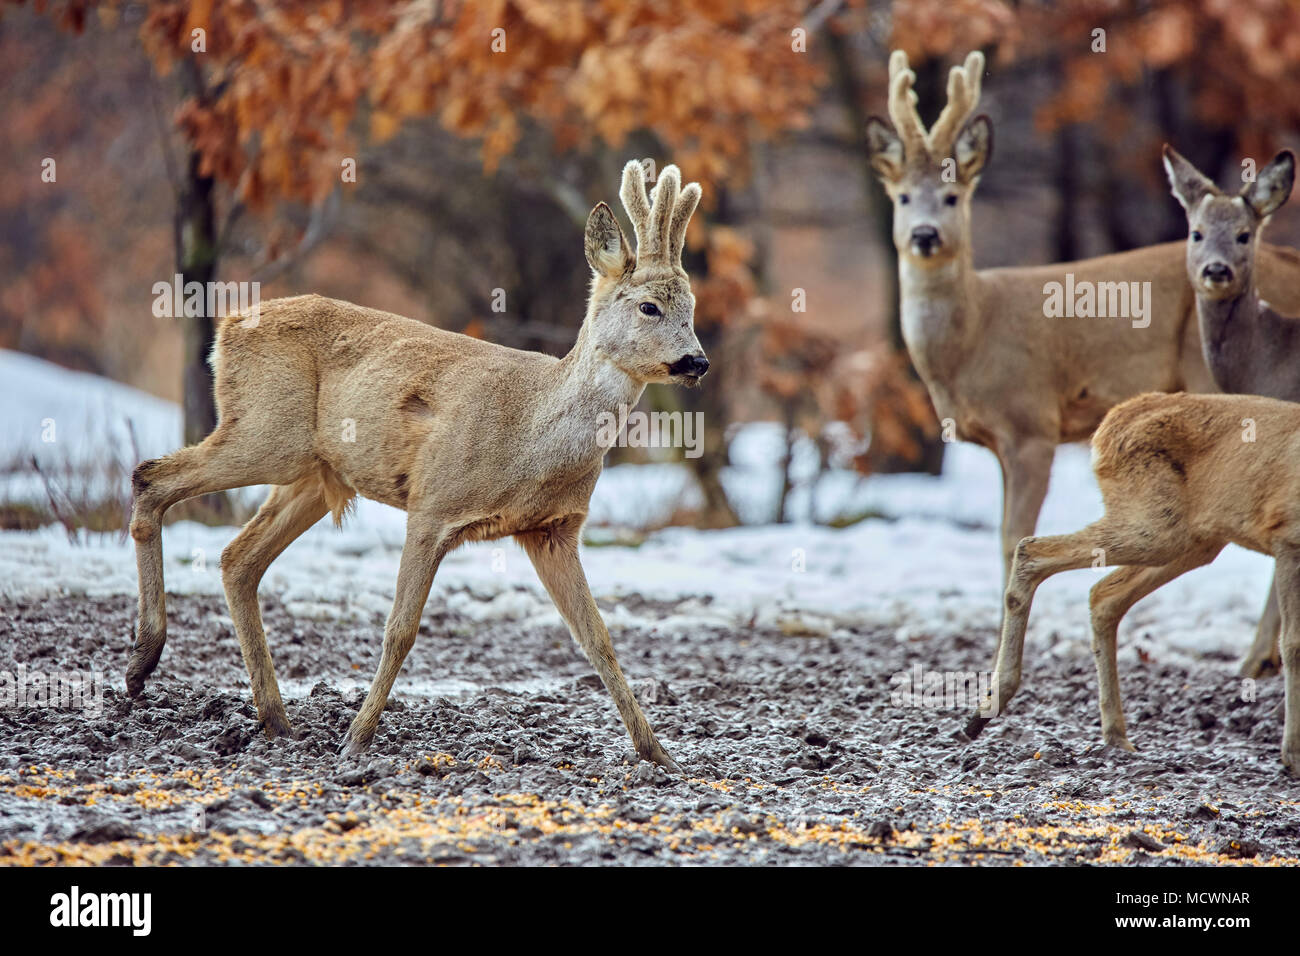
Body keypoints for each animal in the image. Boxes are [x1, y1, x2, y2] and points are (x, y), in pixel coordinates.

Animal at [126, 160, 708, 772]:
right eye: (649, 306)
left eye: (692, 309)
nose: (698, 361)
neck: (531, 434)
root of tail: (228, 327)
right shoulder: (434, 504)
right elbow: (401, 630)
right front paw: (356, 739)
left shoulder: (552, 530)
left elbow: (599, 639)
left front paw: (661, 756)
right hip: (265, 433)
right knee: (152, 476)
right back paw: (142, 665)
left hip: (313, 474)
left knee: (237, 557)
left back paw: (275, 720)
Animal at [962, 389, 1300, 776]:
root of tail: (1108, 425)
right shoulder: (1286, 536)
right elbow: (1293, 644)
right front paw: (1292, 755)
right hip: (1156, 528)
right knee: (1031, 550)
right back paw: (986, 710)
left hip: (1194, 540)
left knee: (1102, 595)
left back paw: (1115, 735)